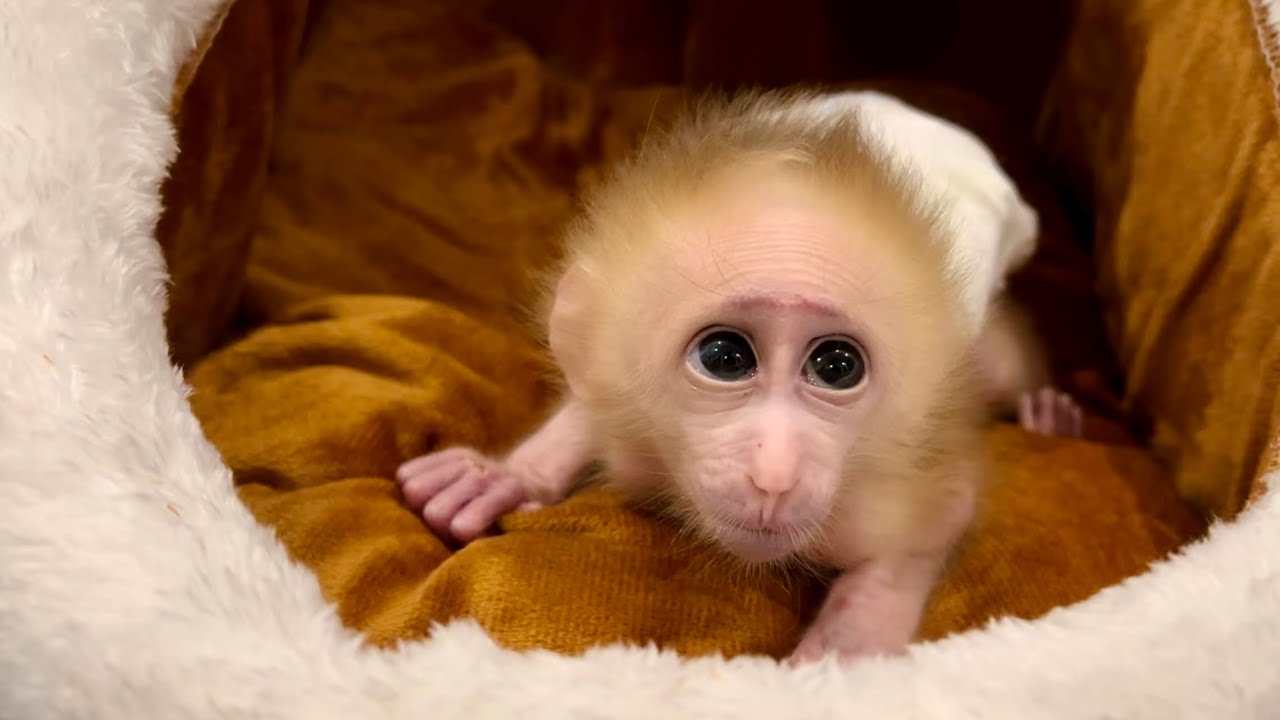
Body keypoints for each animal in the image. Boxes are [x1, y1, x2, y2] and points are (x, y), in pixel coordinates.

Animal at [396, 88, 1082, 665]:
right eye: (725, 358)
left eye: (837, 367)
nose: (774, 473)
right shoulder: (634, 434)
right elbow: (593, 399)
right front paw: (505, 477)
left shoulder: (871, 501)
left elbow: (938, 519)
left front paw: (844, 652)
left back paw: (1050, 410)